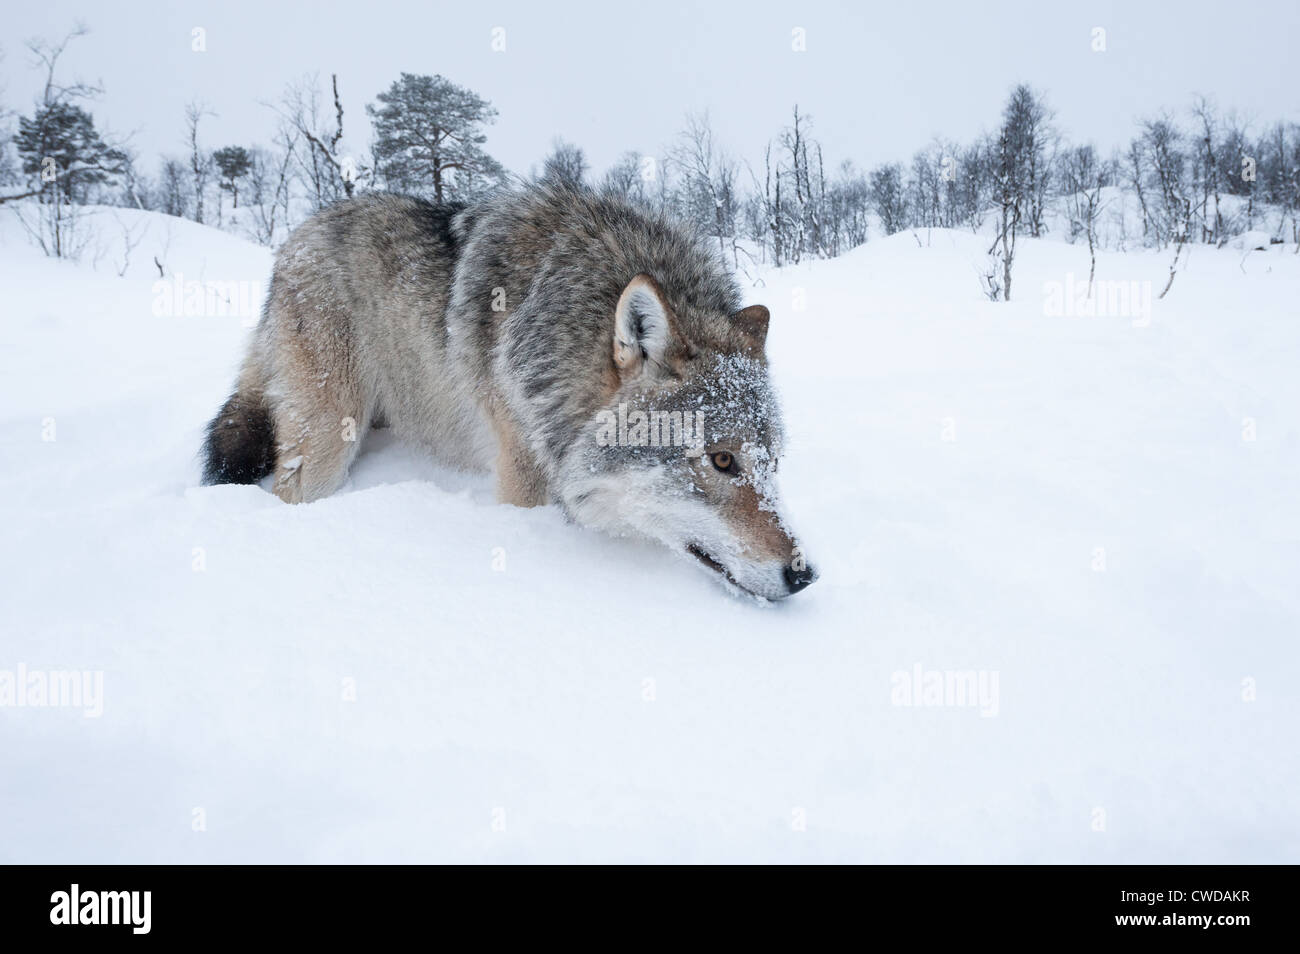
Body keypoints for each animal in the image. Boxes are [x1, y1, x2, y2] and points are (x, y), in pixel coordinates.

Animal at [202, 183, 817, 599]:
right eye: (722, 460)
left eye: (774, 464)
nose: (804, 574)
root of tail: (296, 236)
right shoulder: (521, 484)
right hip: (330, 439)